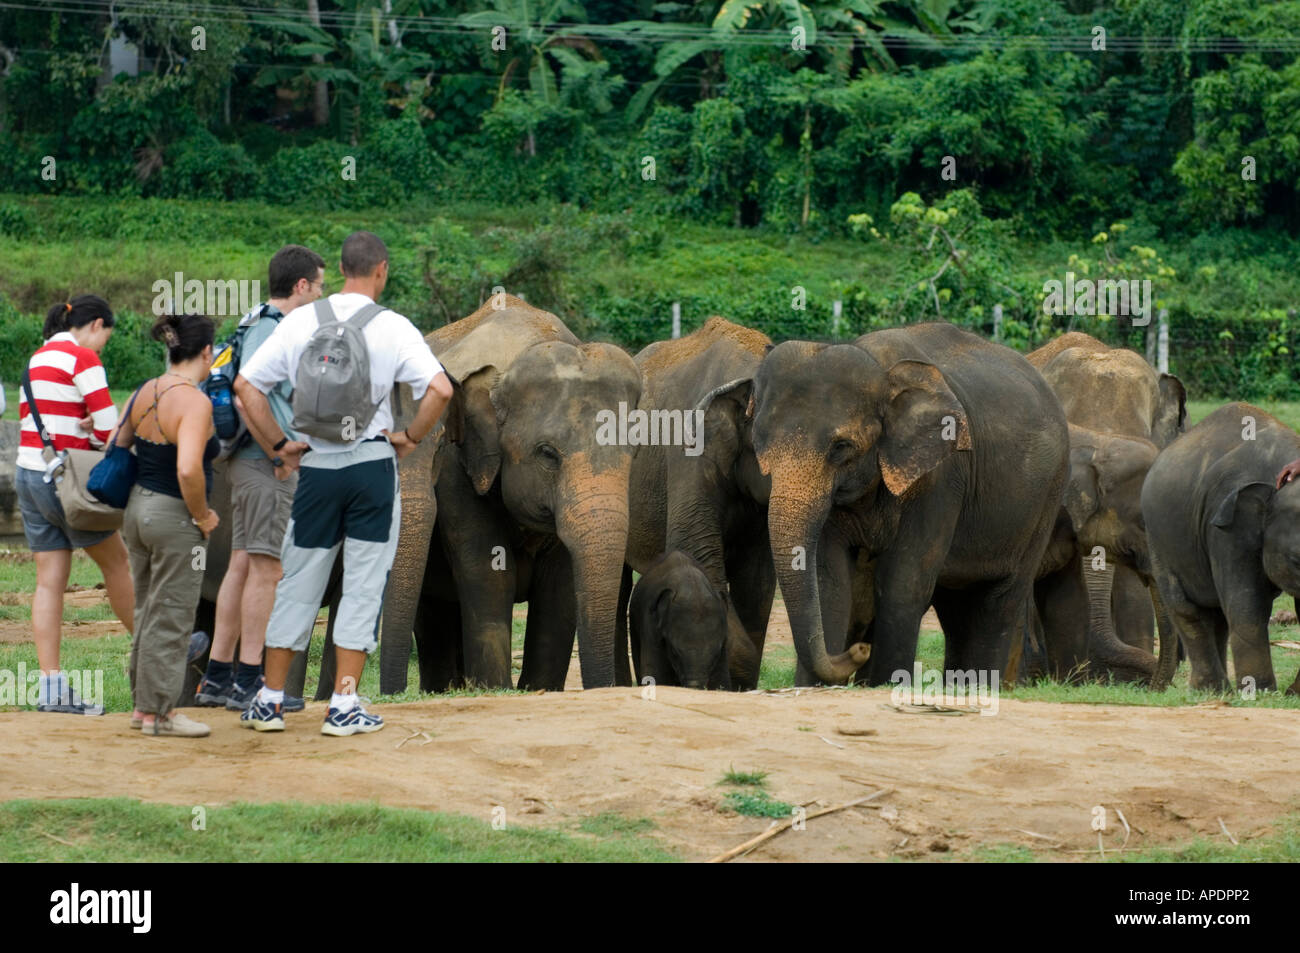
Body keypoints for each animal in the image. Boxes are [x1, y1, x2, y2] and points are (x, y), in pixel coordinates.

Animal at [379, 295, 642, 693]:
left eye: (634, 454)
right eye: (547, 454)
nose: (606, 687)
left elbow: (559, 590)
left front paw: (537, 689)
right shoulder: (459, 472)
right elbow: (488, 573)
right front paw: (494, 688)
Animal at [749, 322, 1069, 686]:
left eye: (841, 447)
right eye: (759, 443)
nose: (860, 649)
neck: (880, 368)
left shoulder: (940, 478)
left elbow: (904, 585)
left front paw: (887, 685)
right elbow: (830, 581)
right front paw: (812, 687)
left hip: (1046, 499)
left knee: (1000, 598)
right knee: (956, 606)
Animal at [1142, 402, 1300, 695]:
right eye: (1296, 559)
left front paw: (1292, 693)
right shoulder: (1227, 529)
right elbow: (1246, 605)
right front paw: (1259, 692)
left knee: (1216, 616)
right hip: (1157, 539)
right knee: (1186, 608)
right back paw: (1210, 690)